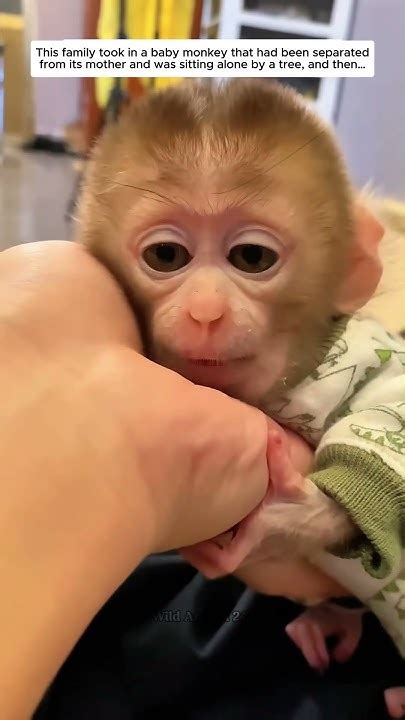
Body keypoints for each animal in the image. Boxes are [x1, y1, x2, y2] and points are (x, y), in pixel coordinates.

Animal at [74, 78, 405, 717]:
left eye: (252, 258)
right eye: (167, 256)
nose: (206, 312)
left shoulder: (361, 346)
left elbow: (389, 402)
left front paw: (291, 515)